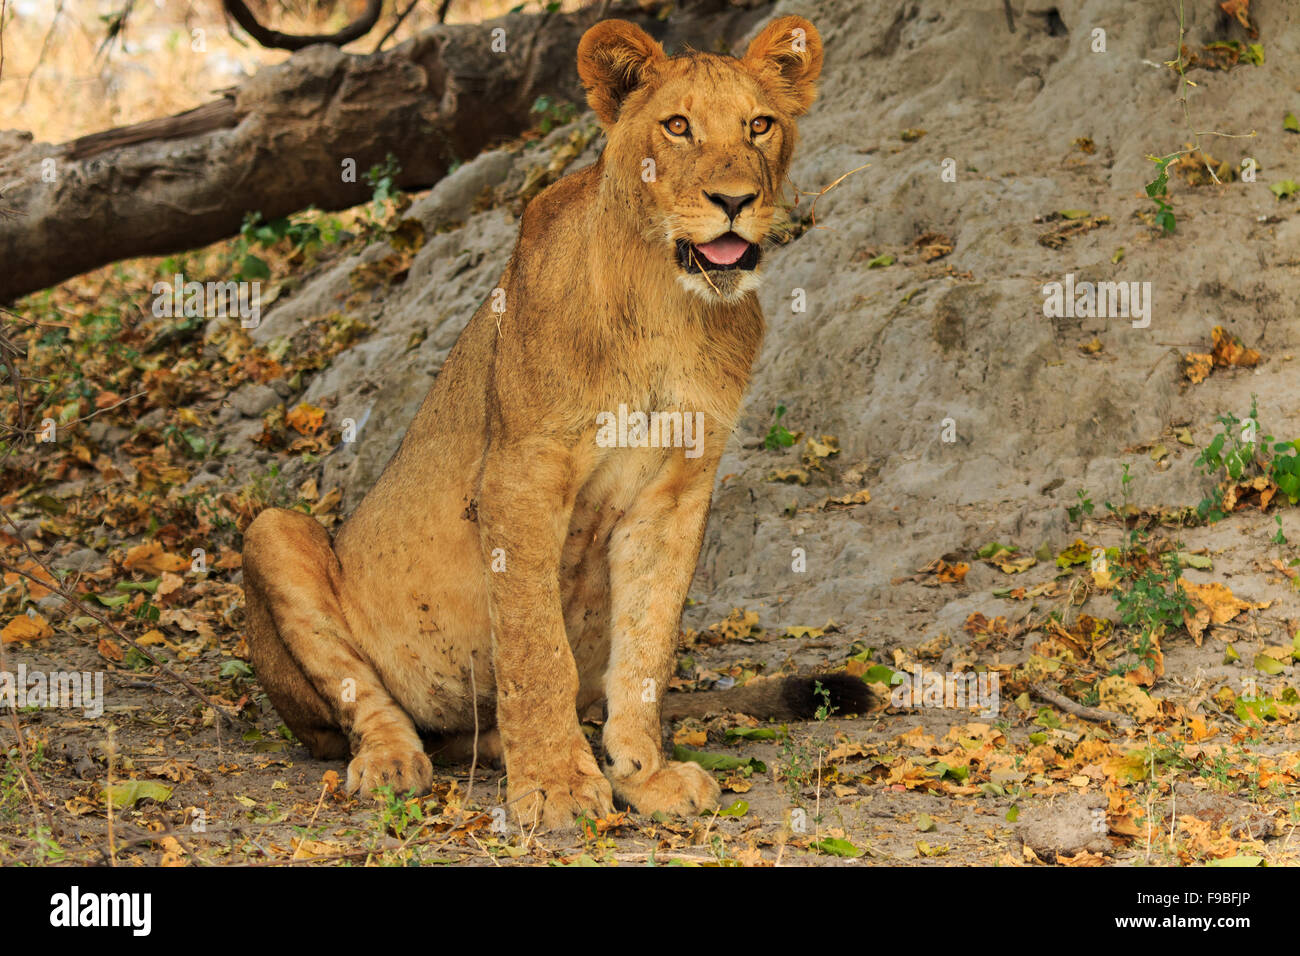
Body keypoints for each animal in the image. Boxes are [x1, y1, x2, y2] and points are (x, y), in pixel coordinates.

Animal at [242, 14, 862, 830]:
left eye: (760, 125)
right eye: (677, 126)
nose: (735, 199)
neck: (666, 304)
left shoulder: (675, 495)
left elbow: (647, 648)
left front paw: (642, 774)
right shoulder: (521, 476)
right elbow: (535, 645)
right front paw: (558, 786)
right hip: (274, 535)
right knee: (360, 708)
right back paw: (392, 762)